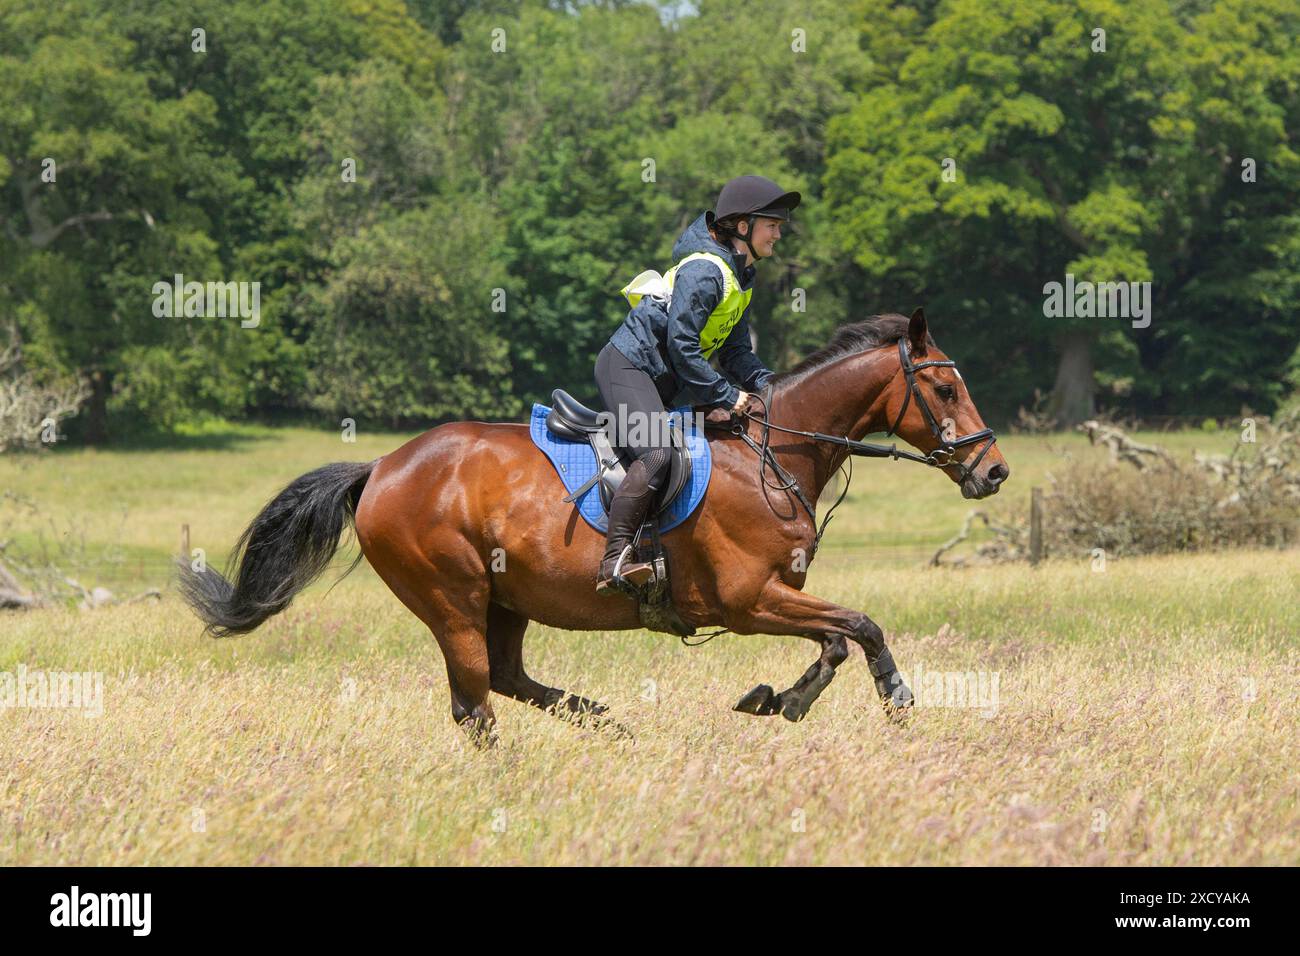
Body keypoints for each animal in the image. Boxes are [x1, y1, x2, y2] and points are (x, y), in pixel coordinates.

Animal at [178, 308, 1010, 743]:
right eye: (944, 388)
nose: (994, 471)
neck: (772, 455)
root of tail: (380, 466)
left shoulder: (777, 596)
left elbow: (836, 636)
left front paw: (780, 699)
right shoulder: (745, 601)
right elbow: (860, 625)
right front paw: (893, 694)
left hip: (505, 599)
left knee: (504, 679)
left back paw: (601, 720)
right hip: (452, 597)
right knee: (474, 704)